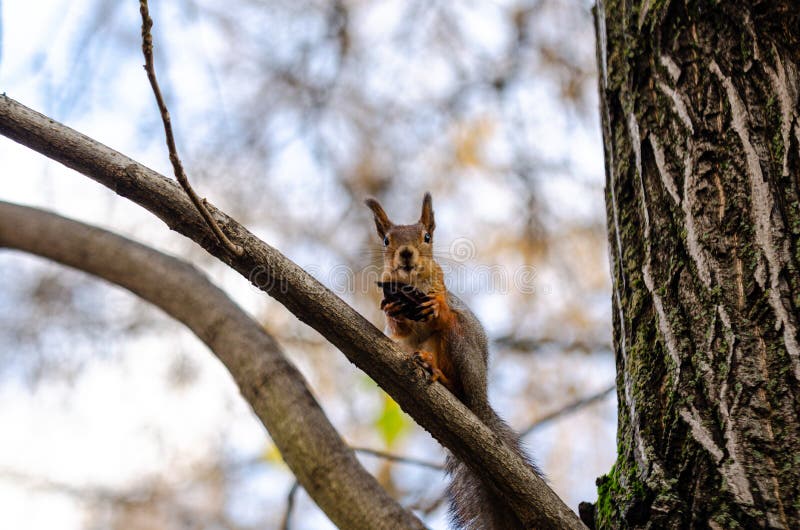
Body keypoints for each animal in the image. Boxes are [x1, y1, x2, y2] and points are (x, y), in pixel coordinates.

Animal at [365, 192, 538, 530]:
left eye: (427, 237)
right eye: (387, 240)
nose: (406, 254)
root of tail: (480, 403)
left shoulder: (441, 287)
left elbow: (442, 310)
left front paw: (436, 307)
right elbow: (398, 328)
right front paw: (394, 312)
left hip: (462, 346)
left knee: (458, 378)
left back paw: (439, 375)